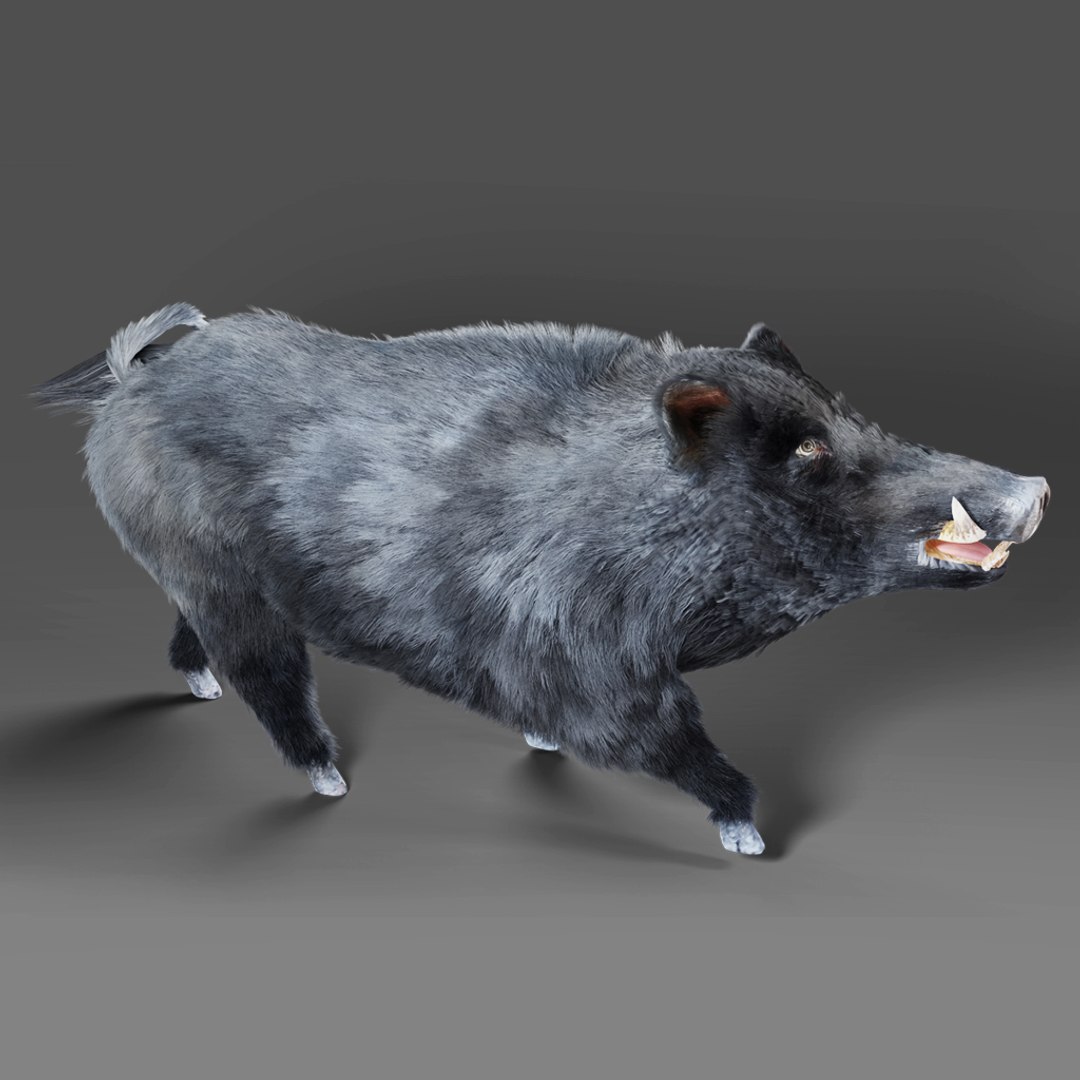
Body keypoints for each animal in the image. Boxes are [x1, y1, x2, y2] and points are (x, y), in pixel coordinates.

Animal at [32, 303, 1050, 855]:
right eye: (805, 452)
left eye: (851, 412)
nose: (1035, 488)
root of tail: (132, 378)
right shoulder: (587, 659)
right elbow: (655, 739)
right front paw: (749, 837)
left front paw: (540, 746)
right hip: (223, 579)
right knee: (267, 677)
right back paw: (329, 783)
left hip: (200, 577)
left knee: (194, 638)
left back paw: (200, 687)